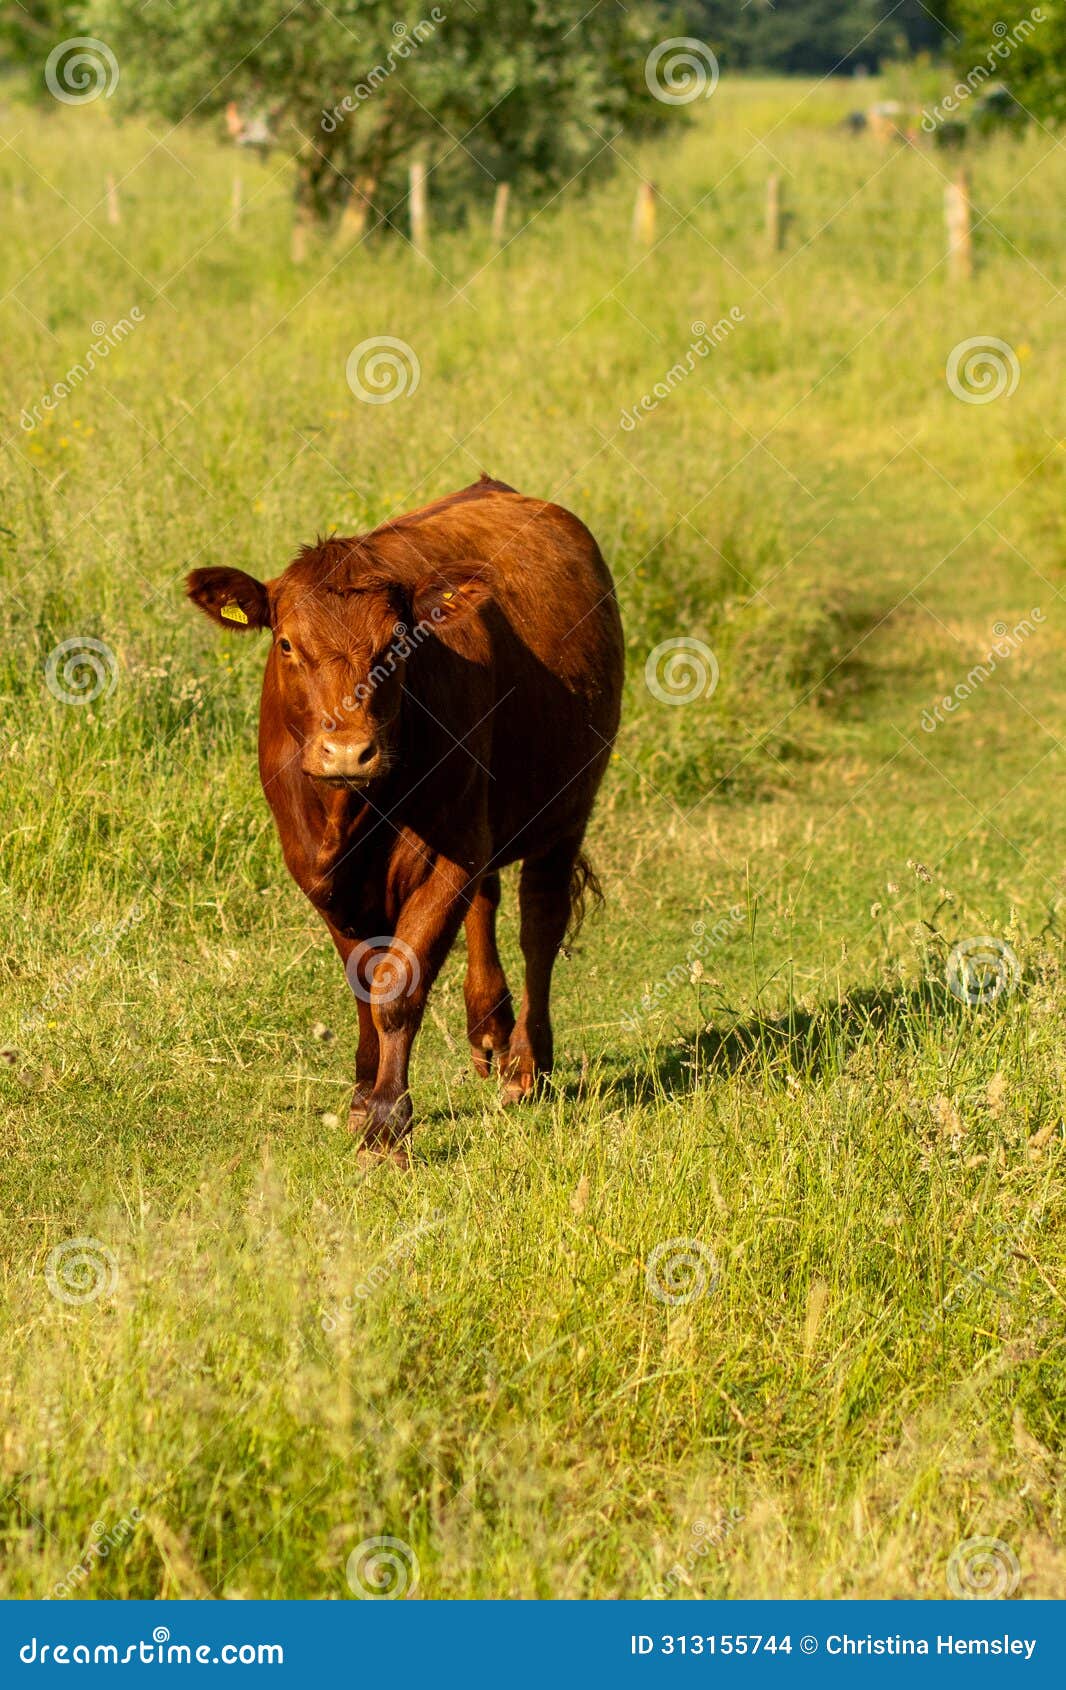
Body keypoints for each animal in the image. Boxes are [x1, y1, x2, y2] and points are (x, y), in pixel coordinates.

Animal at [186, 476, 624, 1165]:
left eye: (396, 643)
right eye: (286, 644)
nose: (347, 751)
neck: (352, 815)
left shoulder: (451, 856)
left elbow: (397, 986)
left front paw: (387, 1122)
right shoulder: (316, 870)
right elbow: (364, 982)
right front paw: (363, 1096)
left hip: (565, 810)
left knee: (540, 925)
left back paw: (527, 1063)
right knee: (488, 906)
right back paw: (489, 1029)